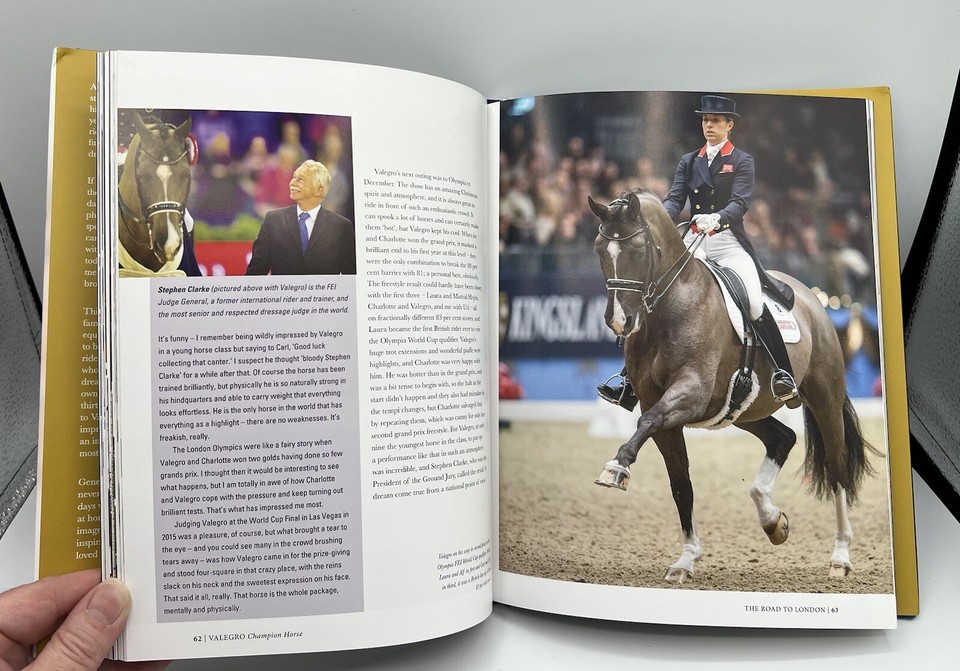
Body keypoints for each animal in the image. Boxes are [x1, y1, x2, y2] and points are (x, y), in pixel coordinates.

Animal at [589, 188, 877, 584]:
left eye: (636, 249)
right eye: (600, 249)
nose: (620, 321)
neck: (670, 306)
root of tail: (812, 297)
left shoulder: (690, 392)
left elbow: (645, 424)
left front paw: (616, 468)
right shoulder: (657, 406)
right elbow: (681, 485)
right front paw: (687, 559)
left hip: (825, 400)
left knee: (837, 470)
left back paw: (841, 556)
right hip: (744, 410)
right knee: (782, 439)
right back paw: (773, 521)